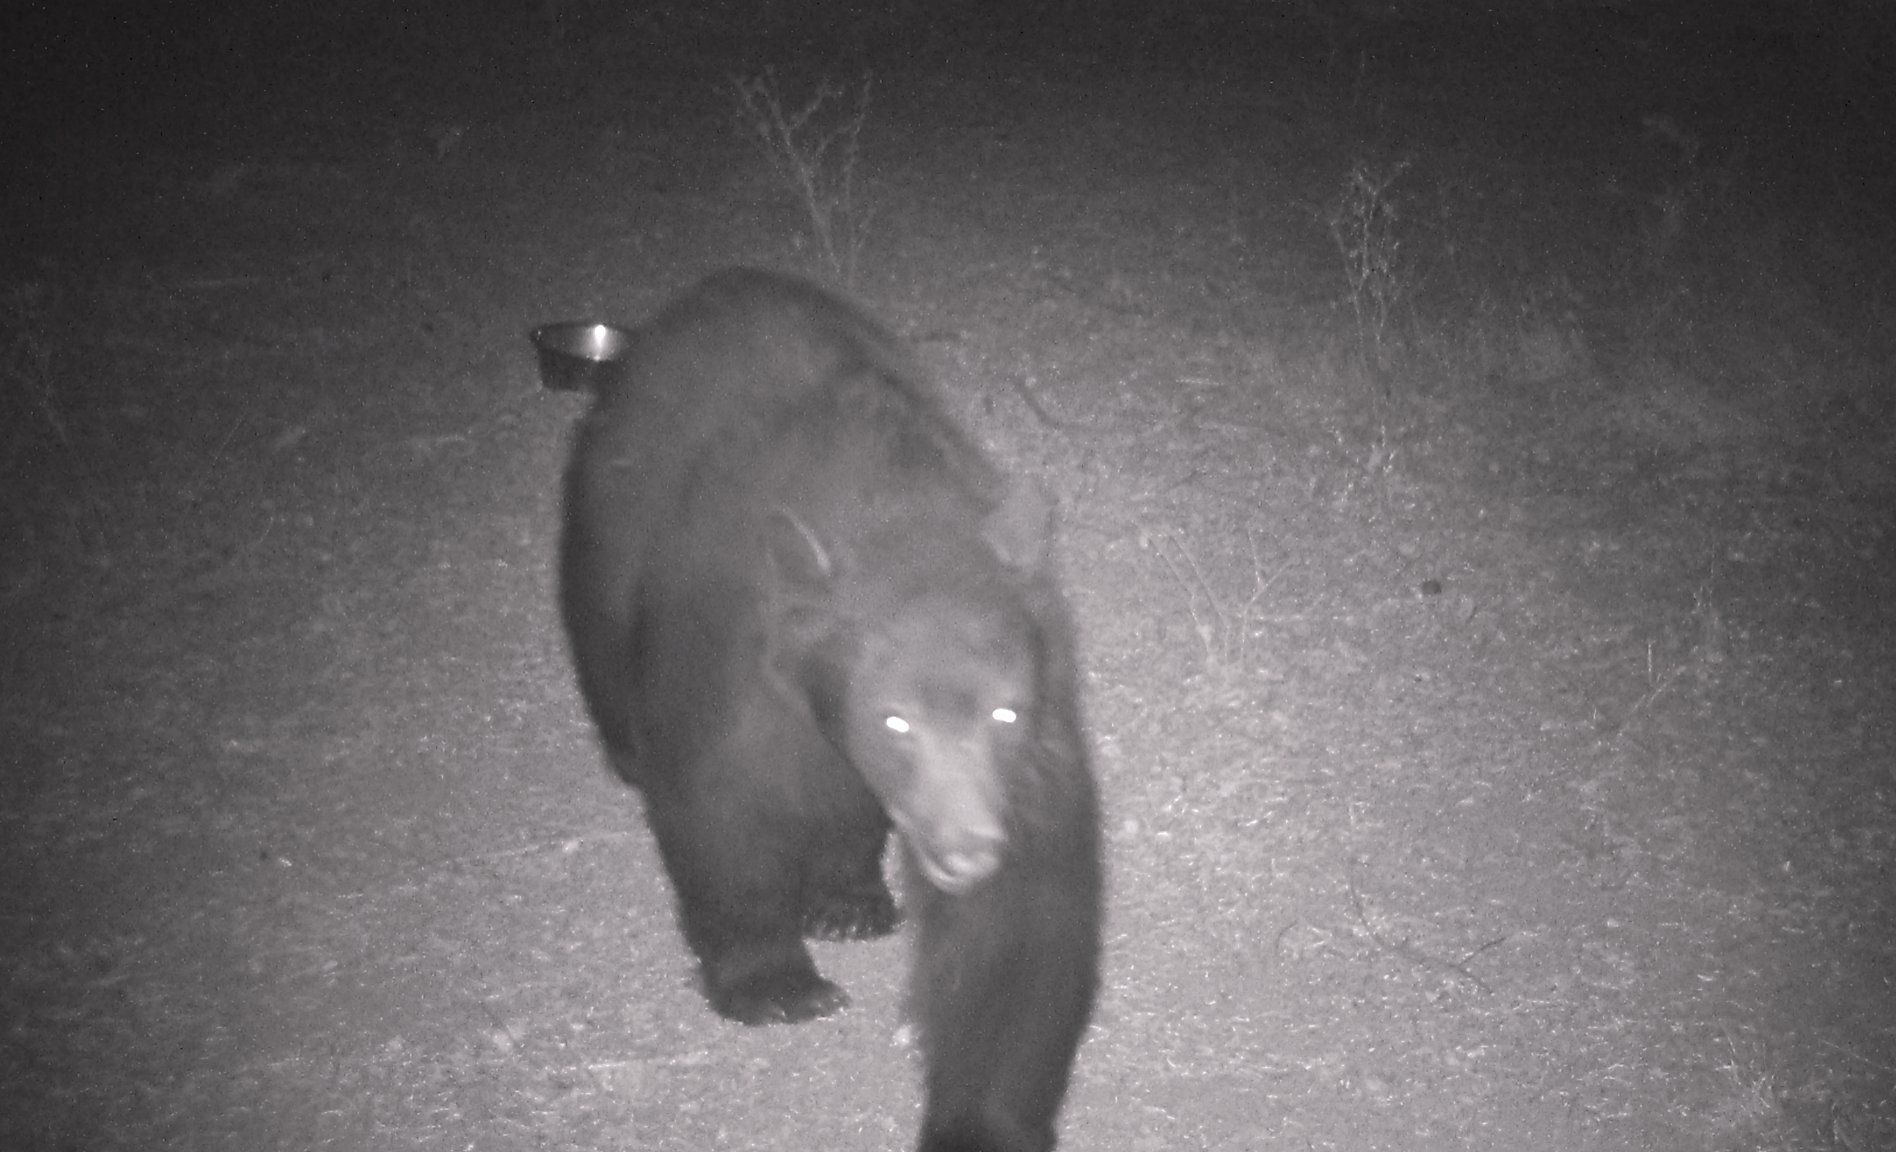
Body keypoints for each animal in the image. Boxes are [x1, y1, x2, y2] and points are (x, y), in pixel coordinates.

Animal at [558, 268, 1101, 1152]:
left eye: (1005, 716)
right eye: (894, 720)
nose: (965, 848)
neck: (893, 508)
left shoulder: (1039, 717)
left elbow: (1020, 921)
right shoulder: (741, 659)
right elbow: (720, 804)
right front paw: (776, 983)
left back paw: (850, 899)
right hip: (606, 523)